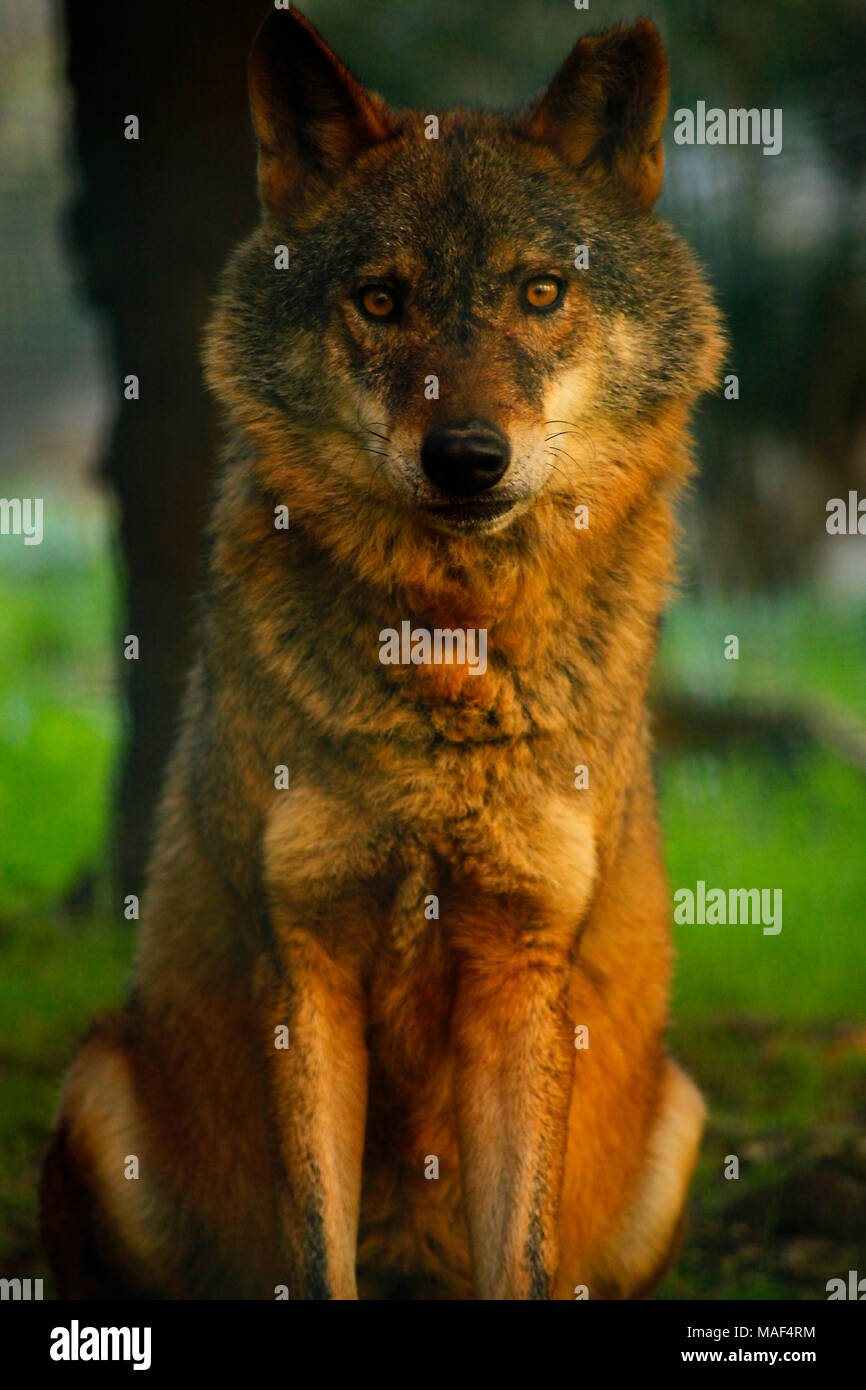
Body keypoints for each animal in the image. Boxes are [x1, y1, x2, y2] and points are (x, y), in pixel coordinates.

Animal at [40, 6, 723, 1299]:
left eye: (541, 291)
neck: (445, 655)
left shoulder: (521, 969)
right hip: (101, 1091)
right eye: (380, 299)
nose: (466, 456)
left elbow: (520, 1257)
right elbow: (315, 1256)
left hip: (676, 1120)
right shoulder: (303, 967)